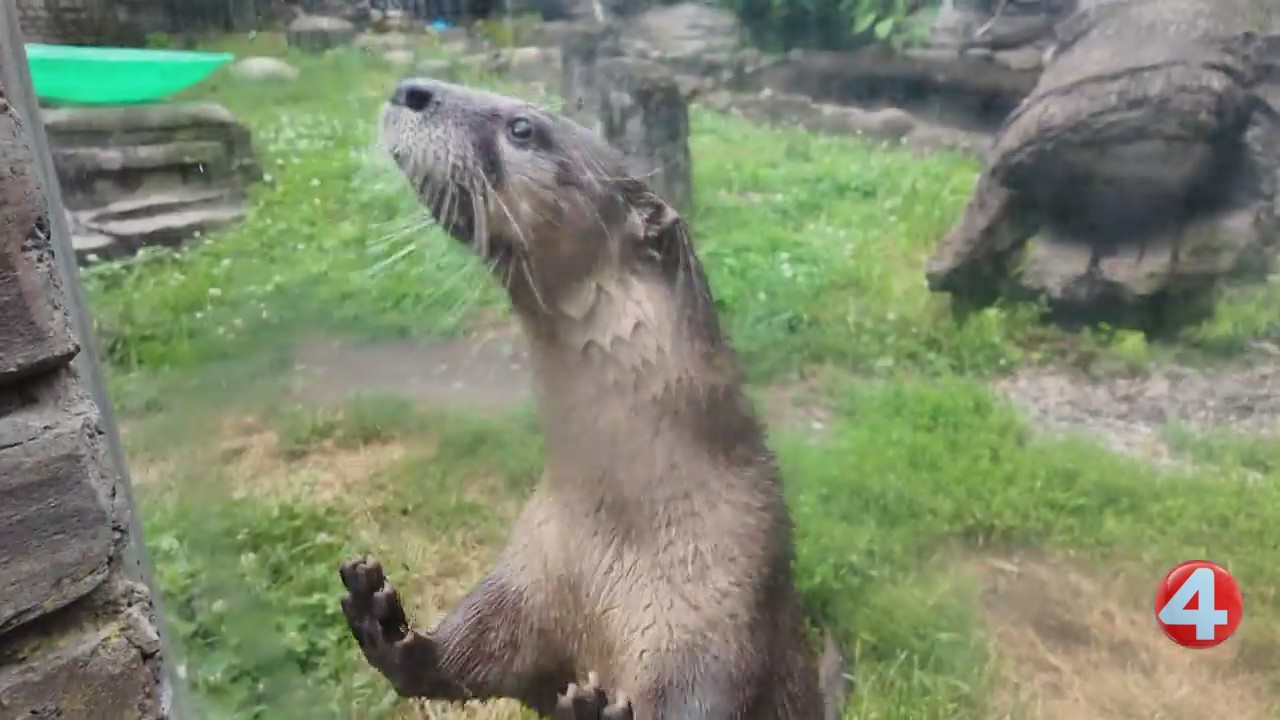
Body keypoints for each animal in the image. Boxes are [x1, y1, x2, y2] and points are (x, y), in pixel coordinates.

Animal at [339, 77, 844, 720]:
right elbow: (474, 653)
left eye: (522, 128)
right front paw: (382, 620)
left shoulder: (722, 611)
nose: (411, 88)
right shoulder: (529, 572)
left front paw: (592, 709)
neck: (626, 527)